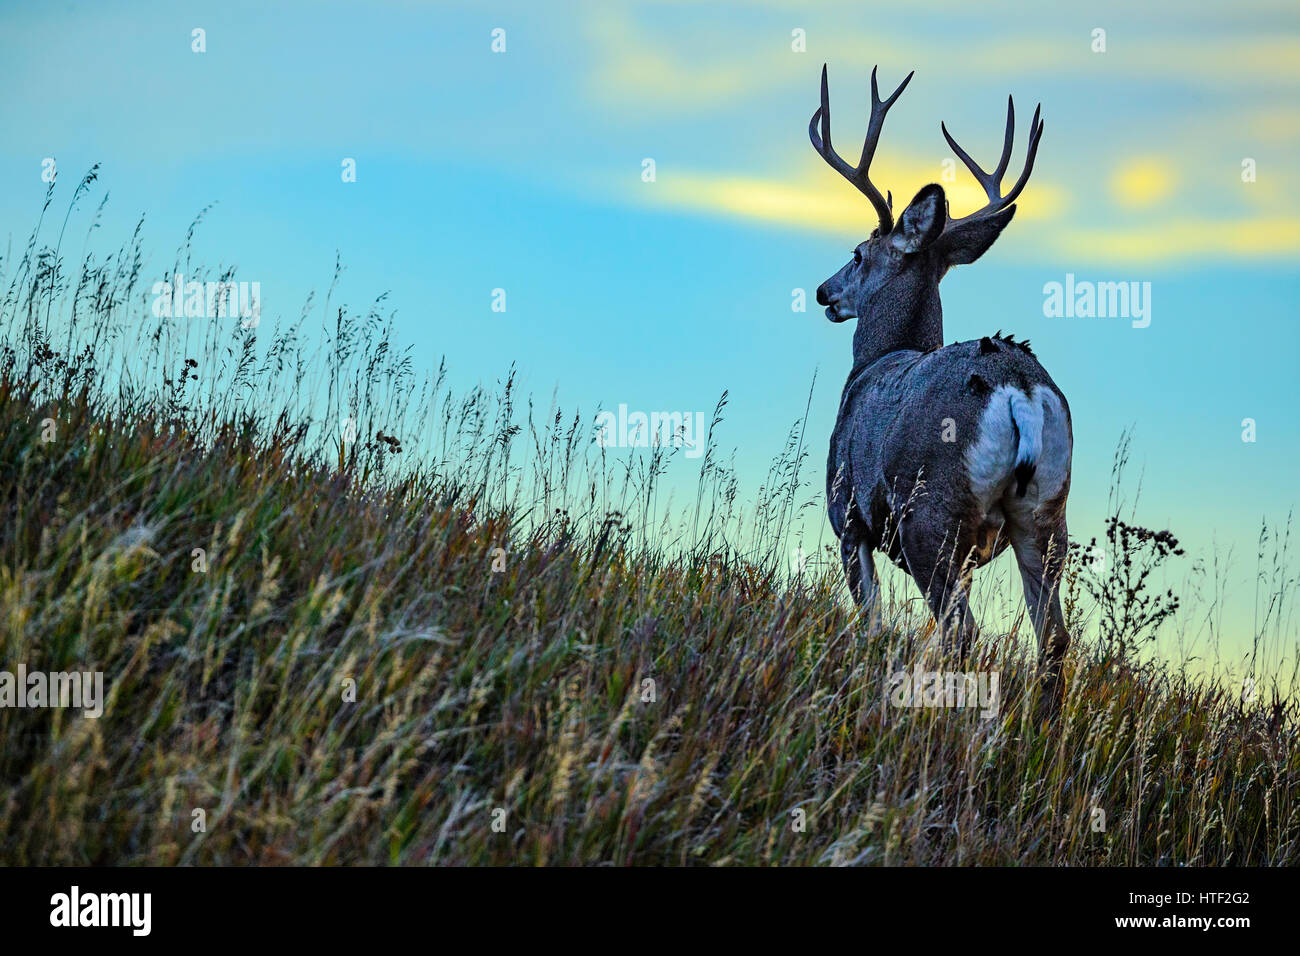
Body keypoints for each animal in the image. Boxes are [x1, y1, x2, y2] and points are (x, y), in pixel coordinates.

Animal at [809, 64, 1073, 708]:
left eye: (859, 253)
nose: (825, 291)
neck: (877, 362)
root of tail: (1018, 390)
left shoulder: (847, 515)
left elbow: (871, 623)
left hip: (930, 514)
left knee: (963, 634)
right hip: (1045, 515)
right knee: (1054, 641)